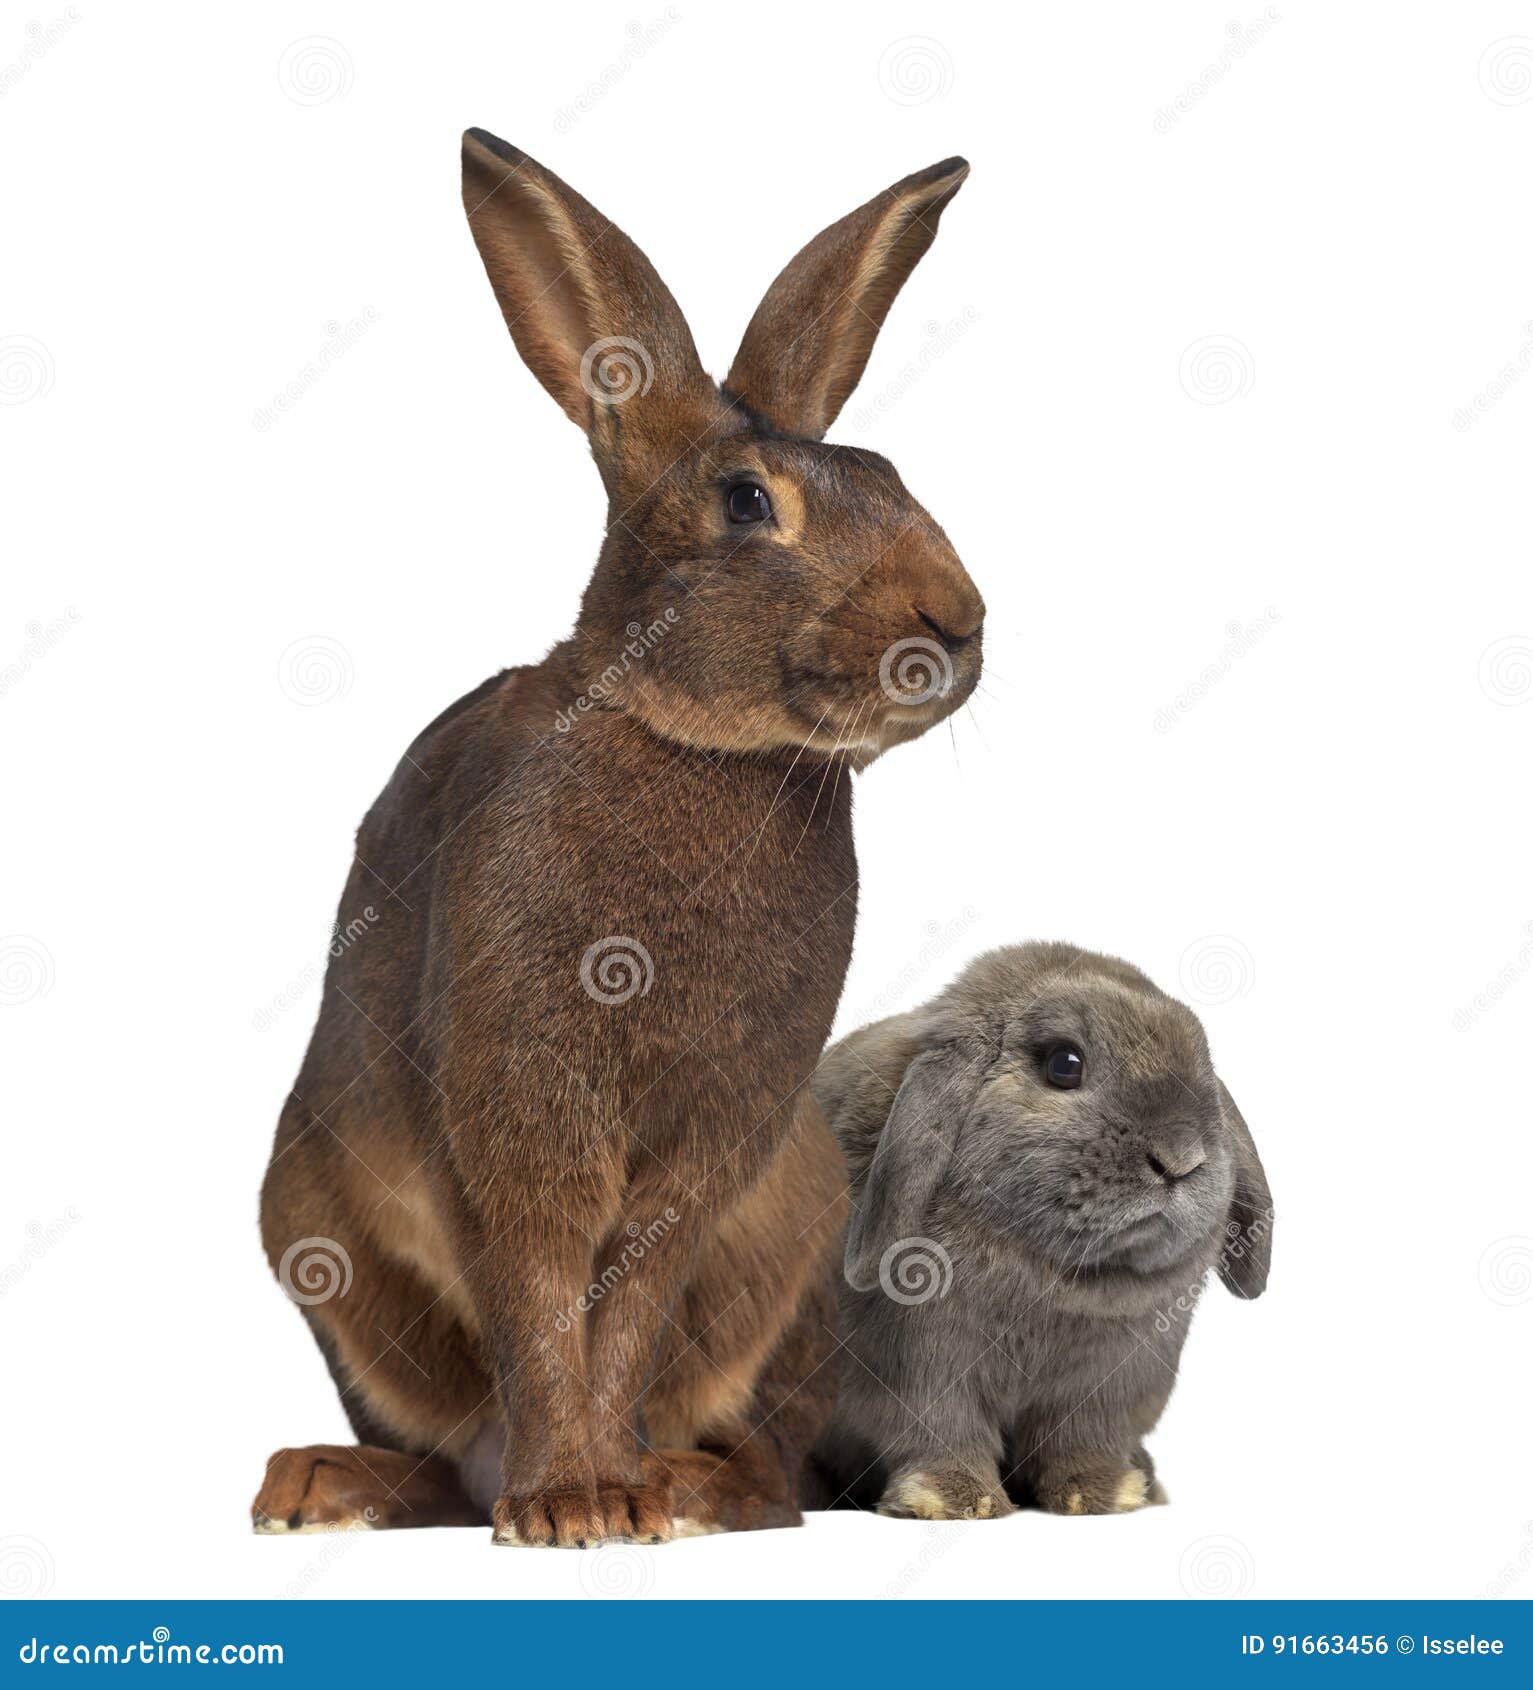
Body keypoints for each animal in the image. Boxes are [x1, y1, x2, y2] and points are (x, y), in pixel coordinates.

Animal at [253, 131, 985, 1549]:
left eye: (893, 479)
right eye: (749, 503)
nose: (959, 618)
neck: (692, 740)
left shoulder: (715, 1141)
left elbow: (627, 1302)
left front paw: (609, 1498)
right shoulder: (511, 1107)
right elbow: (542, 1286)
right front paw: (562, 1507)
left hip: (797, 1234)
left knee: (776, 1468)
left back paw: (688, 1485)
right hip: (320, 1237)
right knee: (433, 1444)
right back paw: (324, 1486)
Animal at [806, 941, 1272, 1522]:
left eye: (1205, 1068)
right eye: (1064, 1064)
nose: (1181, 1158)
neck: (1057, 1278)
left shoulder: (1106, 1388)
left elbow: (1082, 1440)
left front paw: (1103, 1494)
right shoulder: (916, 1369)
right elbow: (937, 1429)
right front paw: (956, 1500)